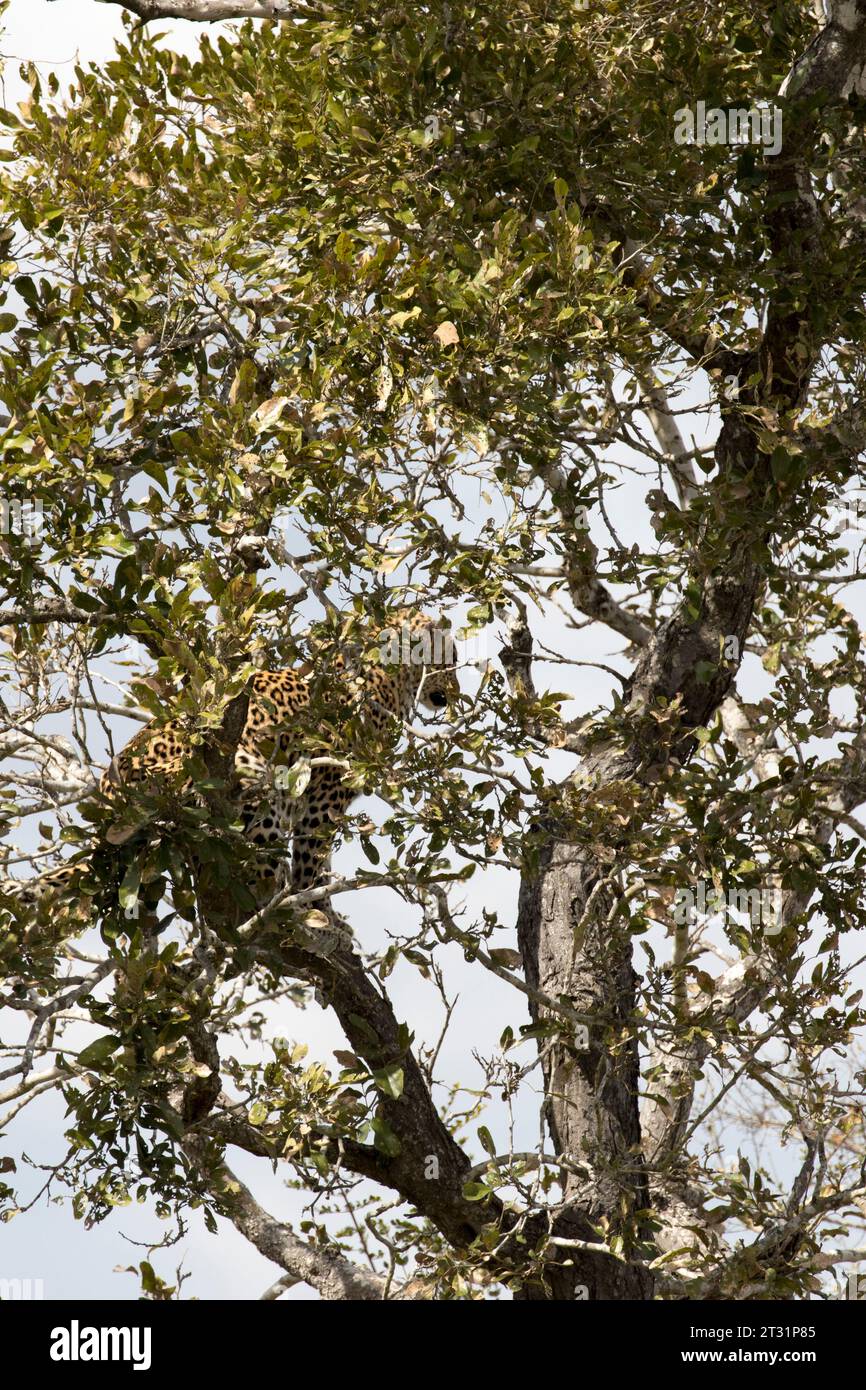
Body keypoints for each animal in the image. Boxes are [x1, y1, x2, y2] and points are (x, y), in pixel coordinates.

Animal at [1, 610, 459, 930]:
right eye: (450, 659)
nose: (456, 693)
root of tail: (111, 798)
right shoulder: (326, 790)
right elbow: (313, 859)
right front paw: (320, 914)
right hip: (242, 769)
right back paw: (268, 886)